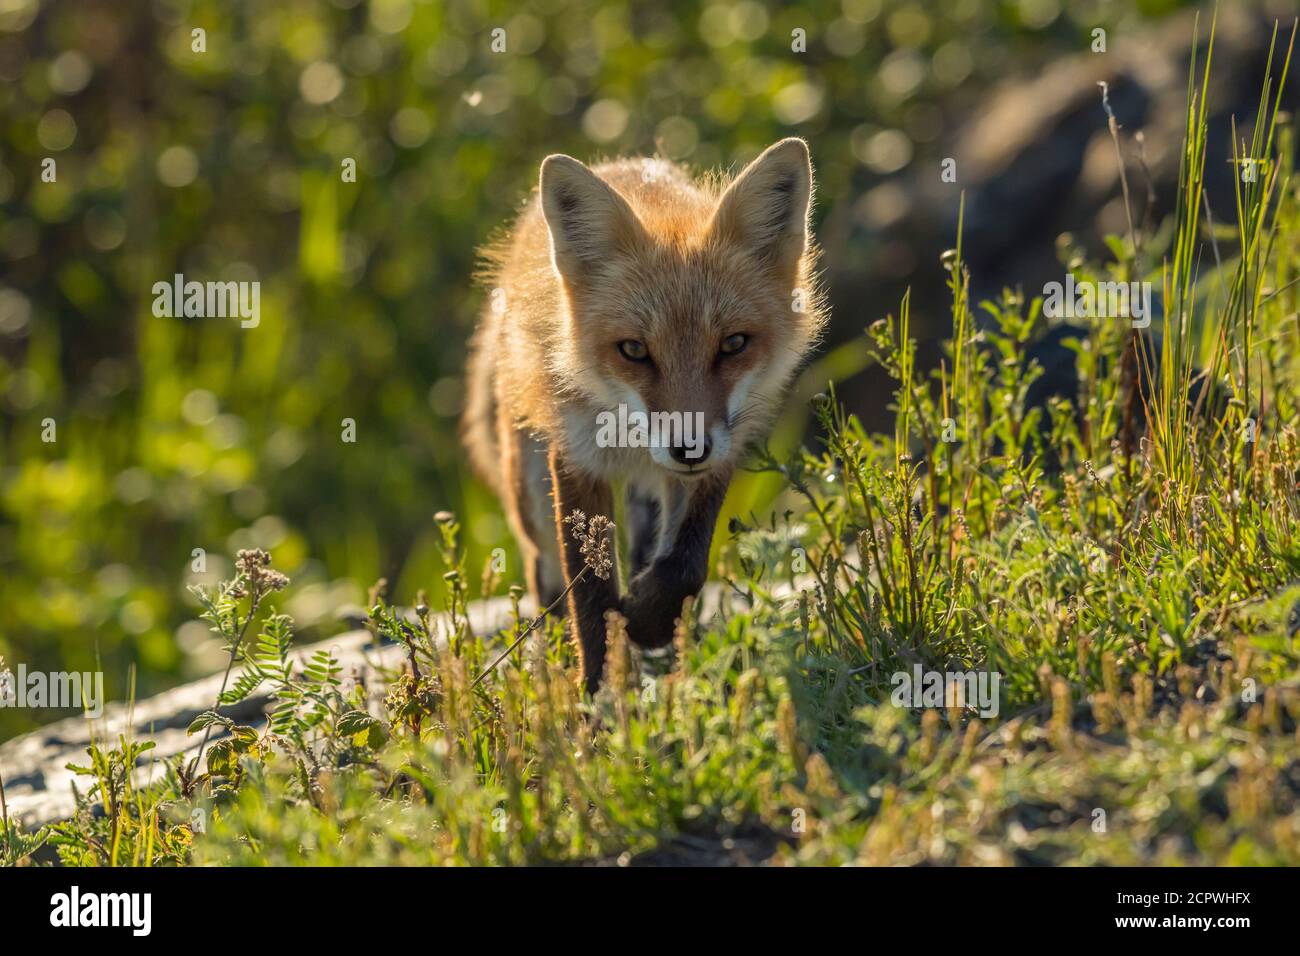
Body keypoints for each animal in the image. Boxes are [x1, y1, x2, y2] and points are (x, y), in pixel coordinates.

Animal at [462, 137, 826, 693]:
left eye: (733, 344)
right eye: (634, 350)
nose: (689, 445)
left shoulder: (720, 453)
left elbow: (684, 567)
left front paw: (646, 620)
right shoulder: (576, 457)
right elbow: (589, 592)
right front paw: (600, 691)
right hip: (527, 485)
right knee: (544, 570)